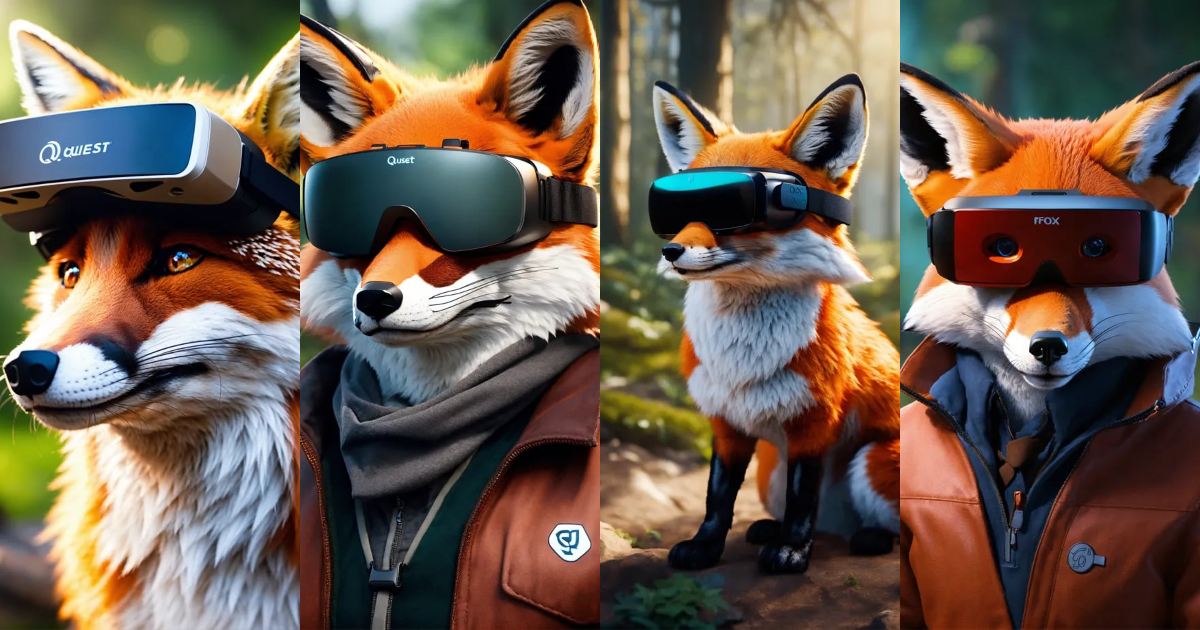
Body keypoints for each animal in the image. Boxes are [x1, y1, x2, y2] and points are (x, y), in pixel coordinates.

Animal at [652, 76, 900, 574]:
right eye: (674, 208)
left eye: (731, 207)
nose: (670, 251)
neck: (743, 357)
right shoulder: (726, 423)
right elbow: (717, 497)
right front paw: (704, 548)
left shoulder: (814, 424)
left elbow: (803, 500)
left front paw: (792, 552)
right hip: (770, 470)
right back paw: (773, 529)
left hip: (870, 459)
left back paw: (866, 537)